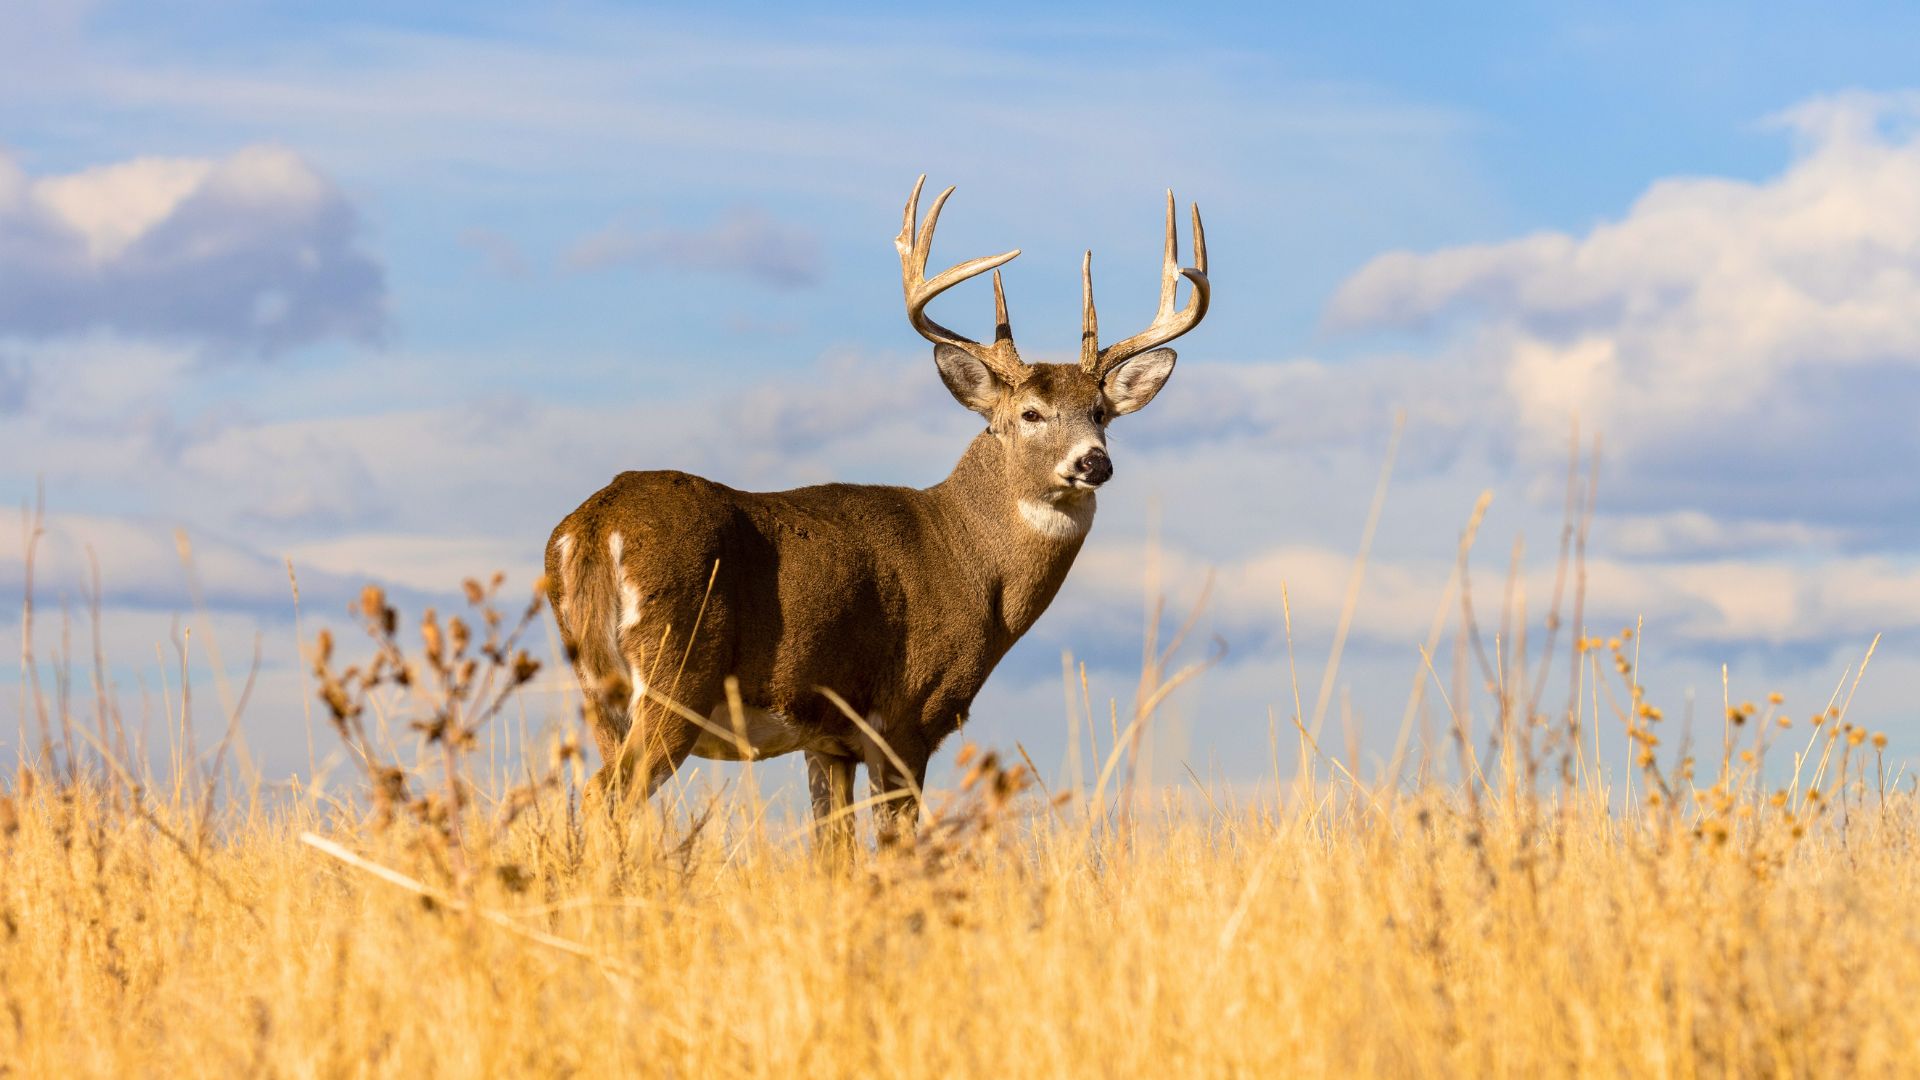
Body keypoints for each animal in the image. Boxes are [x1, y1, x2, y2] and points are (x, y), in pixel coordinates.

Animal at [544, 175, 1209, 850]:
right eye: (1031, 413)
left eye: (1100, 413)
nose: (1094, 462)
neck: (970, 557)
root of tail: (593, 526)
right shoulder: (909, 712)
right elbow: (894, 844)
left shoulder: (827, 738)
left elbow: (833, 849)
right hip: (676, 673)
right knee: (608, 793)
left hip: (597, 688)